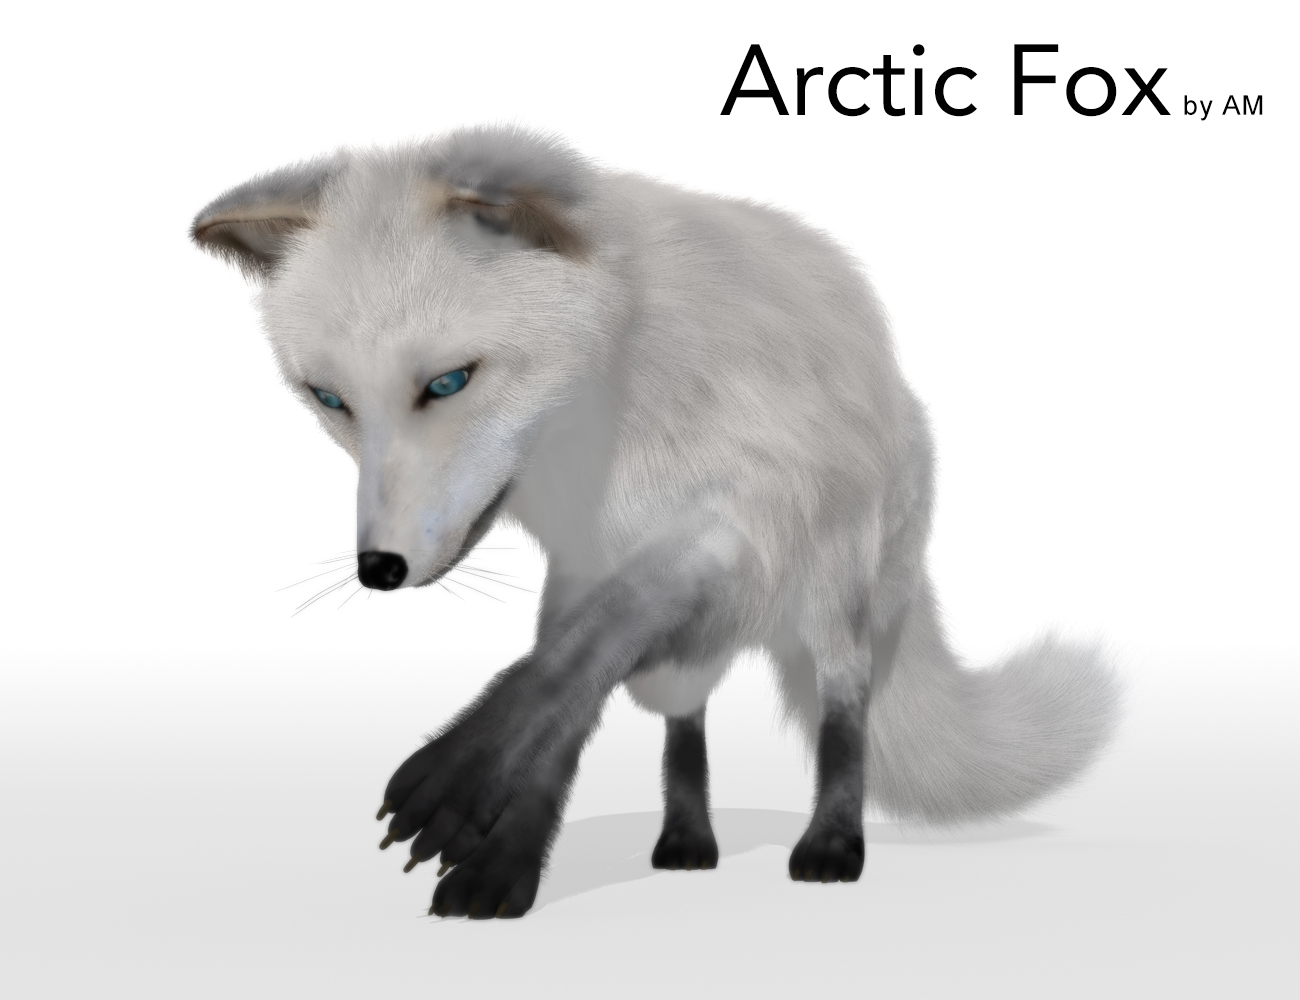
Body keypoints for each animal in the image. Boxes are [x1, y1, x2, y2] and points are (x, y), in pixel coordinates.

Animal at [191, 125, 1120, 919]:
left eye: (448, 382)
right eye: (331, 399)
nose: (379, 569)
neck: (617, 426)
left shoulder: (736, 524)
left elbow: (589, 645)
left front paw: (462, 780)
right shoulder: (582, 567)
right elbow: (567, 692)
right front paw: (506, 861)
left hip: (833, 596)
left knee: (843, 707)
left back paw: (831, 843)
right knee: (682, 718)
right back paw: (685, 837)